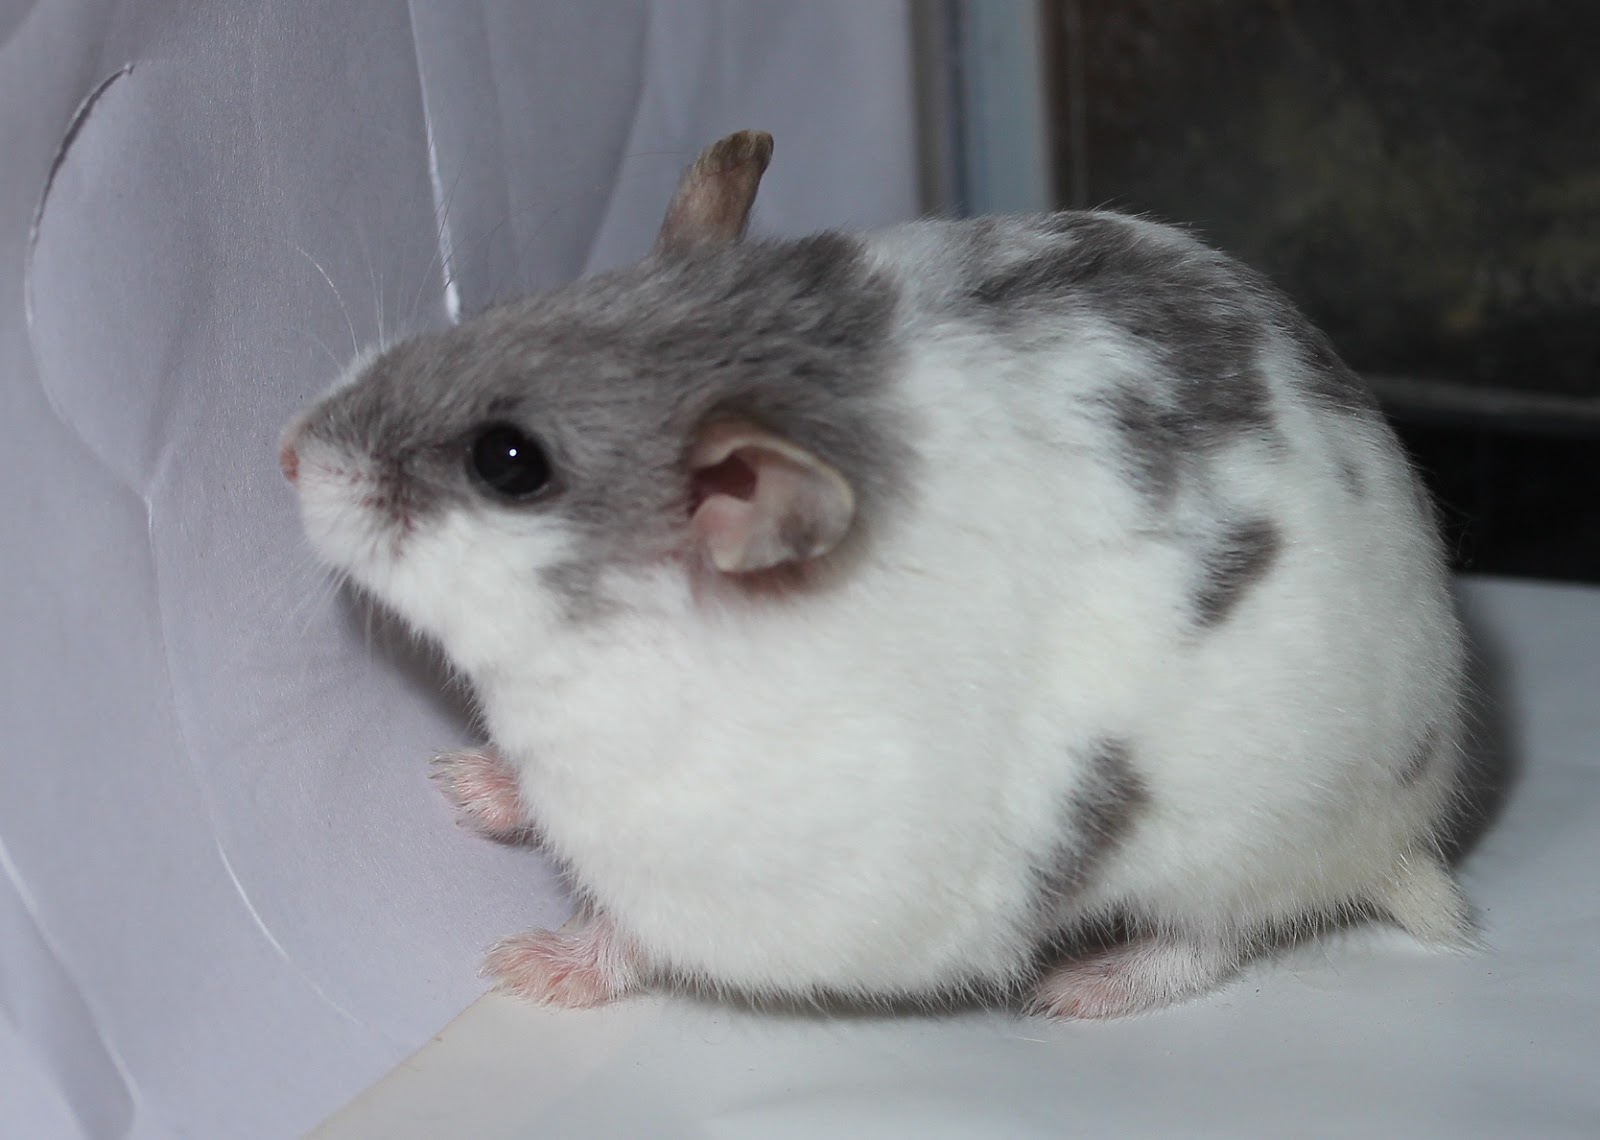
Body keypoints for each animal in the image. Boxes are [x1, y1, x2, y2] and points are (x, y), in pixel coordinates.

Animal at [279, 130, 1472, 1018]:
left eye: (509, 461)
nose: (288, 451)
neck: (598, 652)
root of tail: (1408, 820)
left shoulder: (722, 881)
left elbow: (626, 936)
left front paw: (520, 967)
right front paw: (459, 782)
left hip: (1233, 851)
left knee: (1208, 943)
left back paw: (1074, 991)